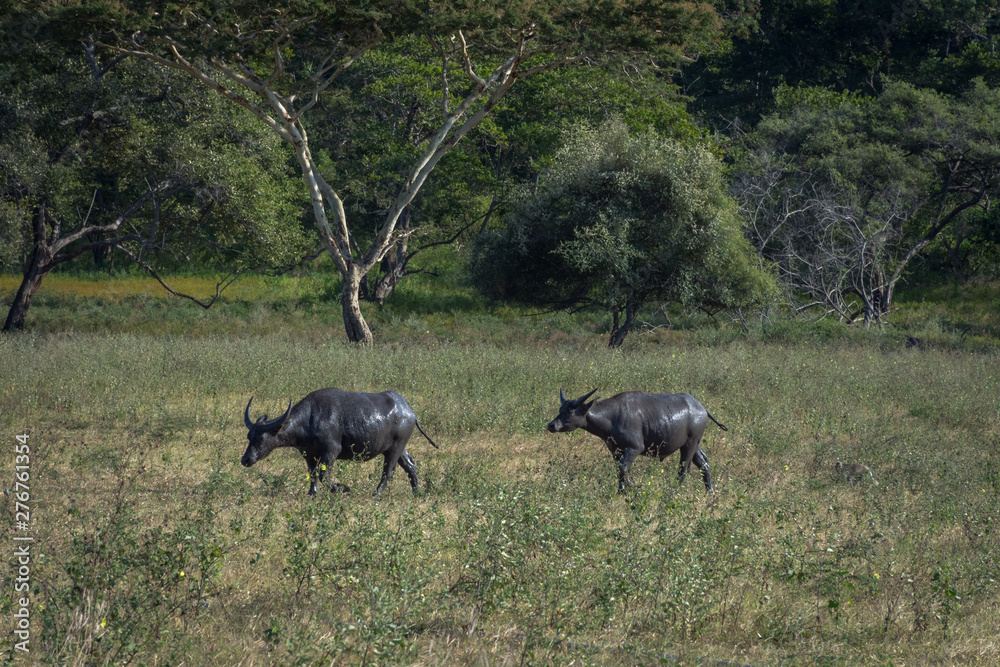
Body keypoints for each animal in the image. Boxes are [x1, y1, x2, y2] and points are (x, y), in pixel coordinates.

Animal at [242, 388, 439, 496]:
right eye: (249, 436)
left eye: (261, 438)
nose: (245, 459)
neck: (309, 419)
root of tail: (410, 412)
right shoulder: (309, 455)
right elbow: (313, 474)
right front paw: (312, 493)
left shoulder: (331, 451)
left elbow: (323, 474)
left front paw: (342, 488)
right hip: (396, 448)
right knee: (410, 464)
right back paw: (417, 491)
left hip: (395, 447)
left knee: (388, 472)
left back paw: (376, 494)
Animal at [547, 389, 726, 493]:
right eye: (560, 409)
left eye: (570, 411)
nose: (551, 425)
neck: (612, 416)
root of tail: (702, 408)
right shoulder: (615, 450)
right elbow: (619, 470)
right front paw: (621, 491)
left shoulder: (634, 448)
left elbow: (623, 469)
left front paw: (634, 489)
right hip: (694, 444)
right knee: (704, 463)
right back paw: (710, 491)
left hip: (689, 444)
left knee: (684, 469)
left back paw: (672, 492)